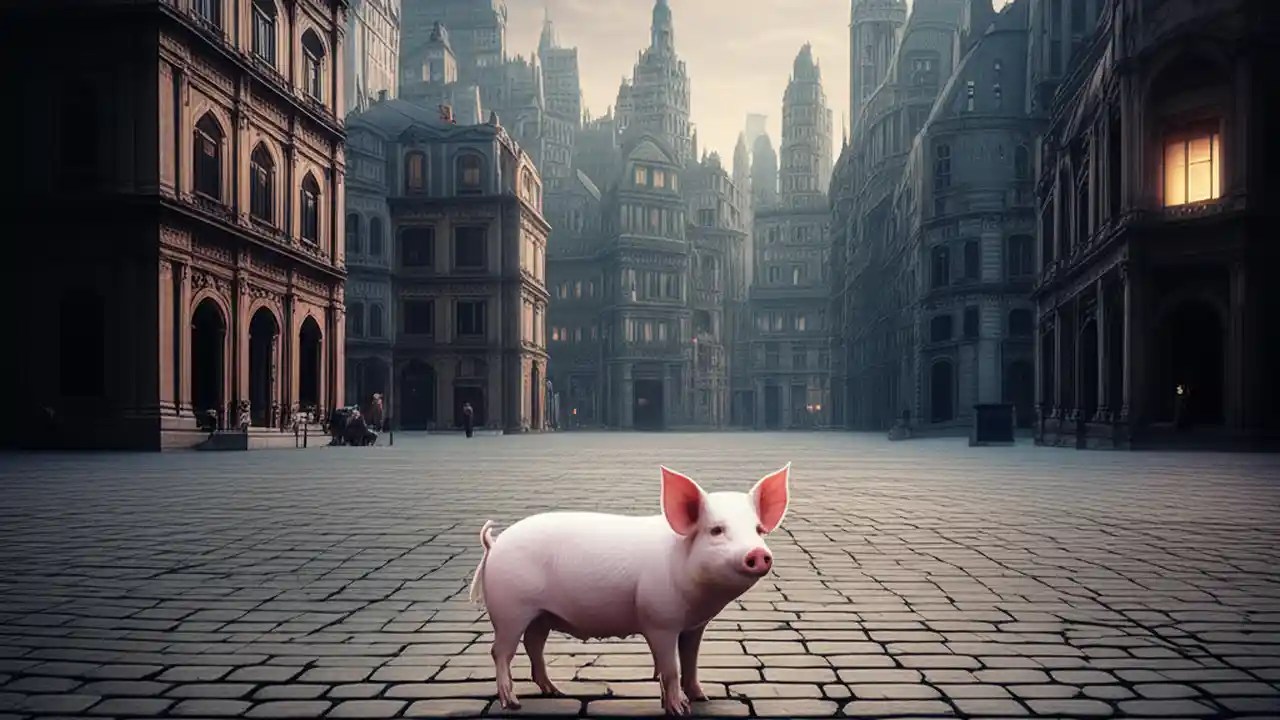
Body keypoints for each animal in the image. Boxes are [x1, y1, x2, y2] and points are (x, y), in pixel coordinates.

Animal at [468, 463, 791, 716]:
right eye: (716, 530)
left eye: (759, 530)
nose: (758, 553)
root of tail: (495, 543)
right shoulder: (659, 620)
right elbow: (671, 666)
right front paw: (680, 709)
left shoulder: (694, 625)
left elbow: (690, 661)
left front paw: (702, 698)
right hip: (510, 609)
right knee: (500, 651)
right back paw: (512, 703)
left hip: (541, 615)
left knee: (533, 644)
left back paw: (554, 692)